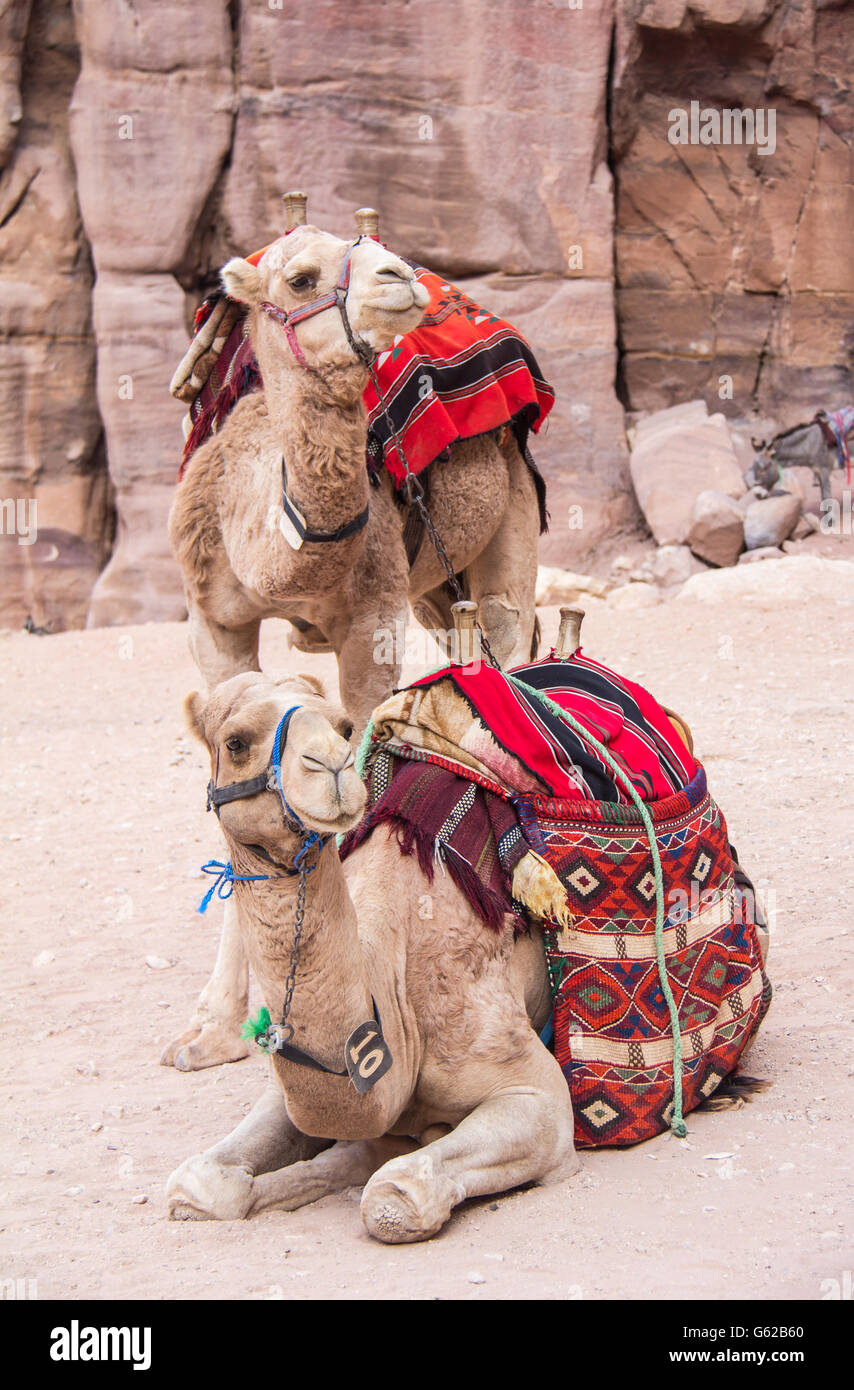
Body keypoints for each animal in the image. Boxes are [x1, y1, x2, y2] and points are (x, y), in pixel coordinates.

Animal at [163, 204, 542, 1071]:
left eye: (371, 249)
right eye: (301, 278)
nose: (404, 279)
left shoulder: (371, 617)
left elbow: (364, 764)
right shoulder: (213, 622)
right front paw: (209, 1028)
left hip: (508, 518)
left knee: (510, 643)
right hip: (437, 587)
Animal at [165, 669, 578, 1241]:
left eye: (343, 726)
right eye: (236, 742)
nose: (332, 764)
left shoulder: (539, 1096)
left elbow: (393, 1194)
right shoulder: (294, 1090)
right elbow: (199, 1185)